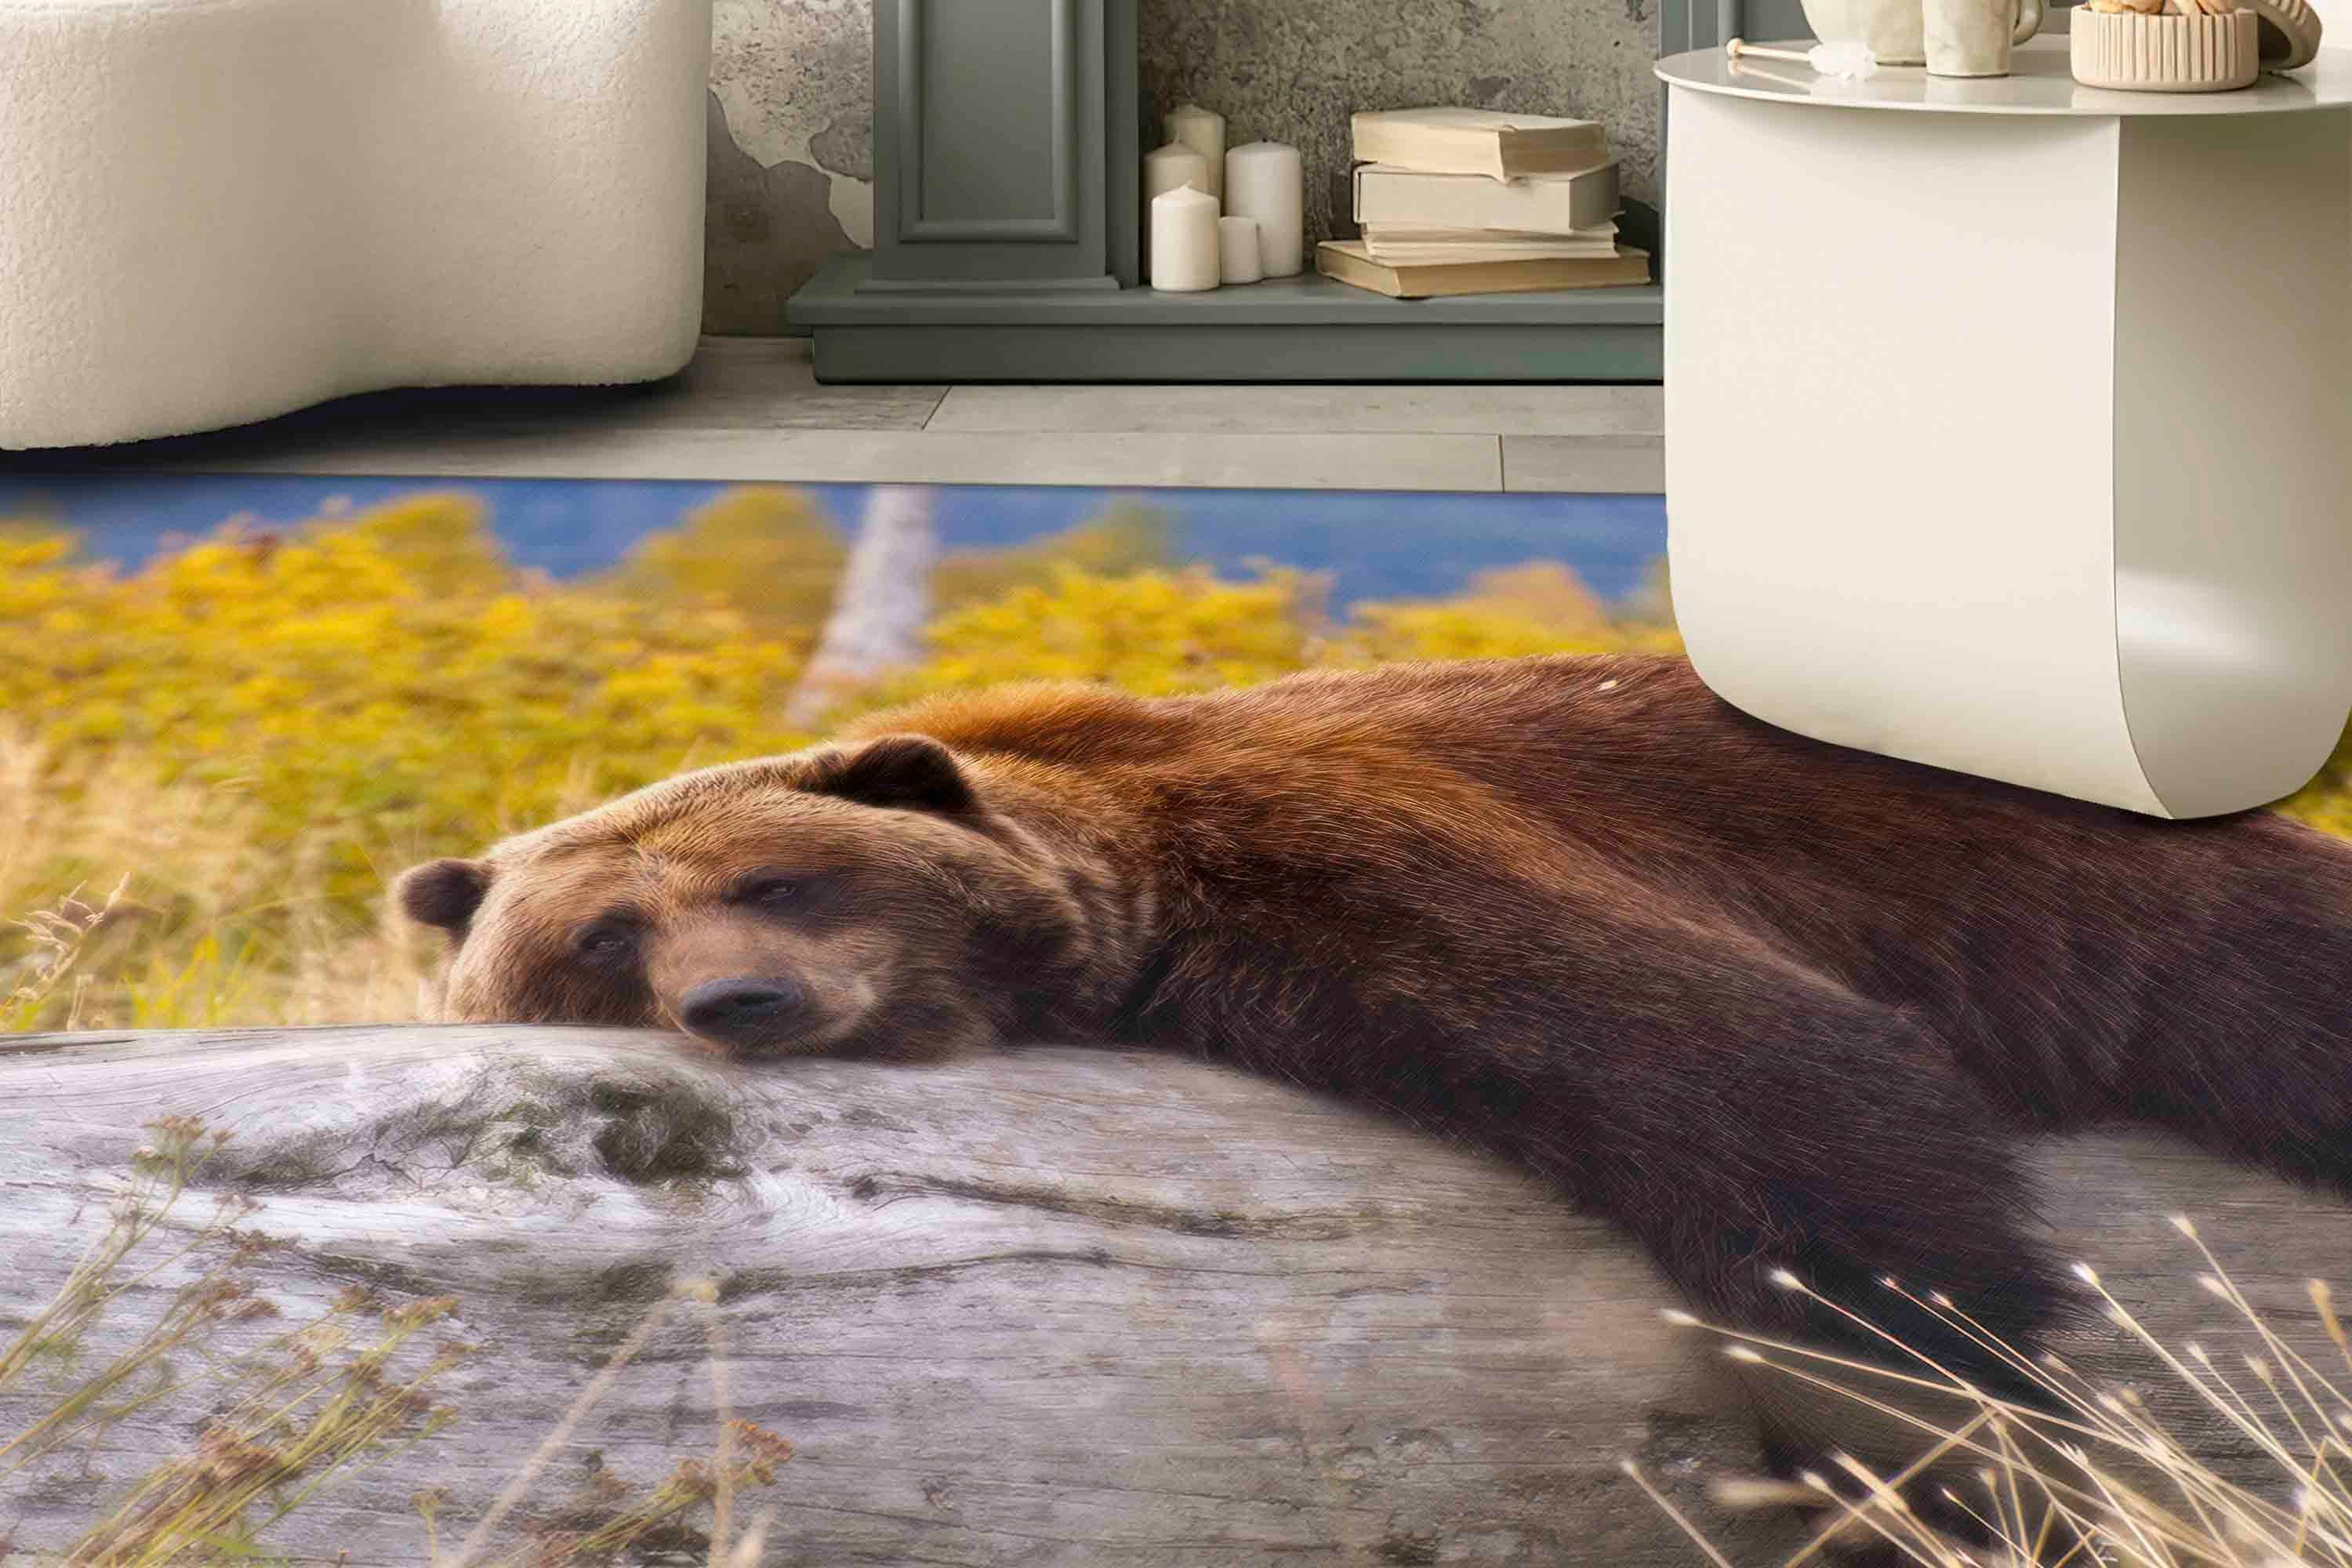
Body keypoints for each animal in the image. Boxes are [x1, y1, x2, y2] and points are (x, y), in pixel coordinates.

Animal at [397, 652, 2352, 1497]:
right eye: (605, 939)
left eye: (780, 881)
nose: (744, 1000)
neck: (1138, 901)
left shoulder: (1359, 856)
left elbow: (1765, 1086)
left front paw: (1929, 1412)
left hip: (2130, 898)